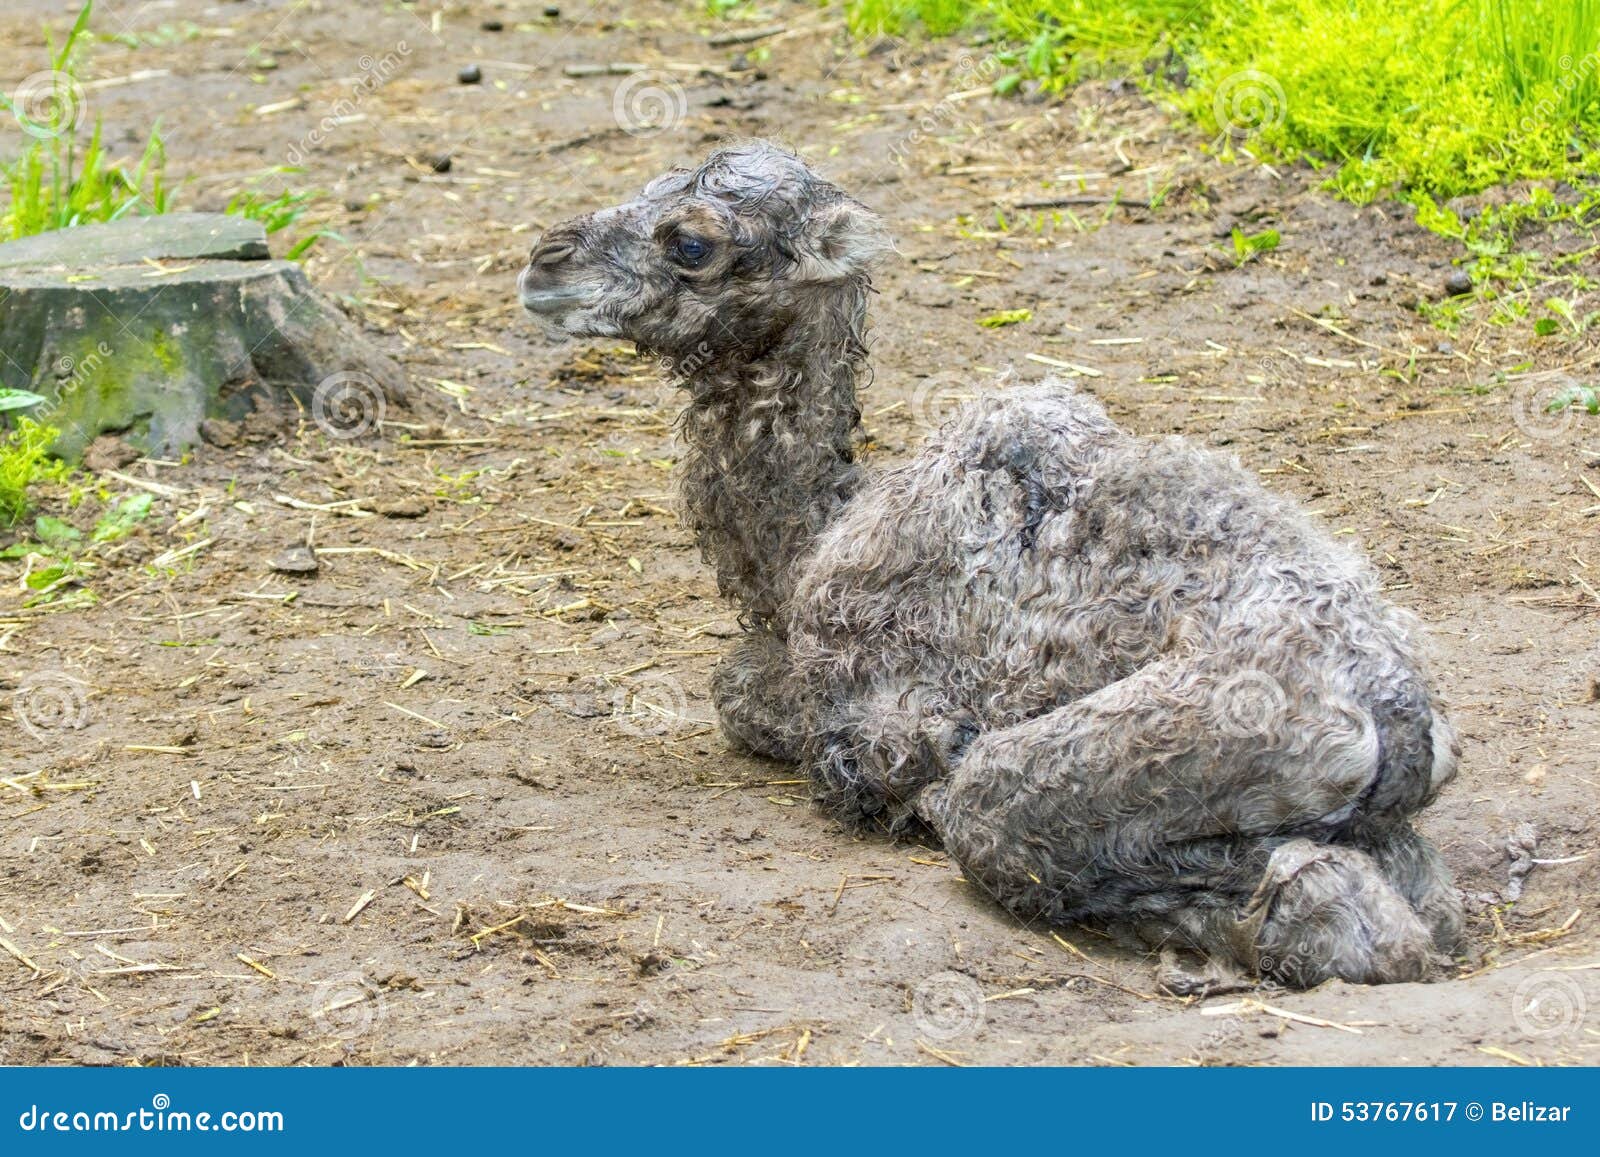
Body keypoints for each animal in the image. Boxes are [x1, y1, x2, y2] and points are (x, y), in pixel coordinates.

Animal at [517, 140, 1464, 989]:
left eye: (691, 242)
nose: (543, 262)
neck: (817, 536)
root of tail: (1401, 717)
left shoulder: (884, 706)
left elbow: (761, 700)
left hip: (1206, 734)